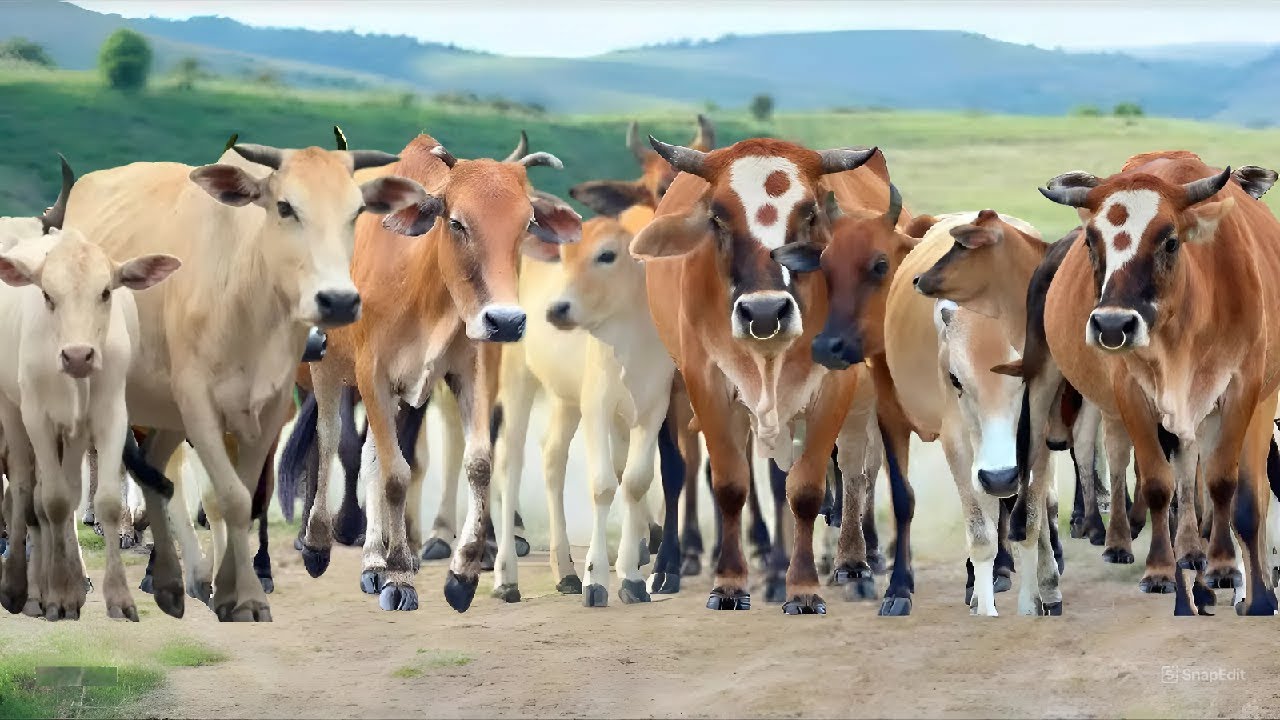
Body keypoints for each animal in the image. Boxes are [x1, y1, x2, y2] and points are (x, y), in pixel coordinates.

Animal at [61, 137, 426, 621]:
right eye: (285, 206)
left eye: (356, 212)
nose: (339, 302)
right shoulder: (199, 406)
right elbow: (225, 498)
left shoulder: (269, 411)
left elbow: (249, 496)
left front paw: (244, 586)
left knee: (156, 476)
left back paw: (168, 578)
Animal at [302, 134, 581, 613]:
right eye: (456, 222)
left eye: (526, 223)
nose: (506, 321)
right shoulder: (372, 374)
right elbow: (395, 475)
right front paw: (400, 575)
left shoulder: (470, 374)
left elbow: (478, 463)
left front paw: (462, 573)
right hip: (328, 365)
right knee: (327, 439)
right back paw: (321, 544)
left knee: (373, 455)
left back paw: (372, 562)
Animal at [629, 135, 886, 614]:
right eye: (718, 217)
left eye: (809, 213)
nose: (765, 312)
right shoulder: (704, 384)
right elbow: (729, 483)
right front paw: (729, 584)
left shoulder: (834, 387)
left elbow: (806, 487)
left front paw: (802, 588)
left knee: (856, 468)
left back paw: (855, 562)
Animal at [1036, 151, 1280, 615]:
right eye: (1091, 241)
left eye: (1169, 240)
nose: (1112, 325)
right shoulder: (1131, 395)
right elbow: (1155, 482)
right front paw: (1160, 570)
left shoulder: (1241, 391)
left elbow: (1222, 480)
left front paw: (1224, 565)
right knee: (1117, 457)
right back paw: (1120, 538)